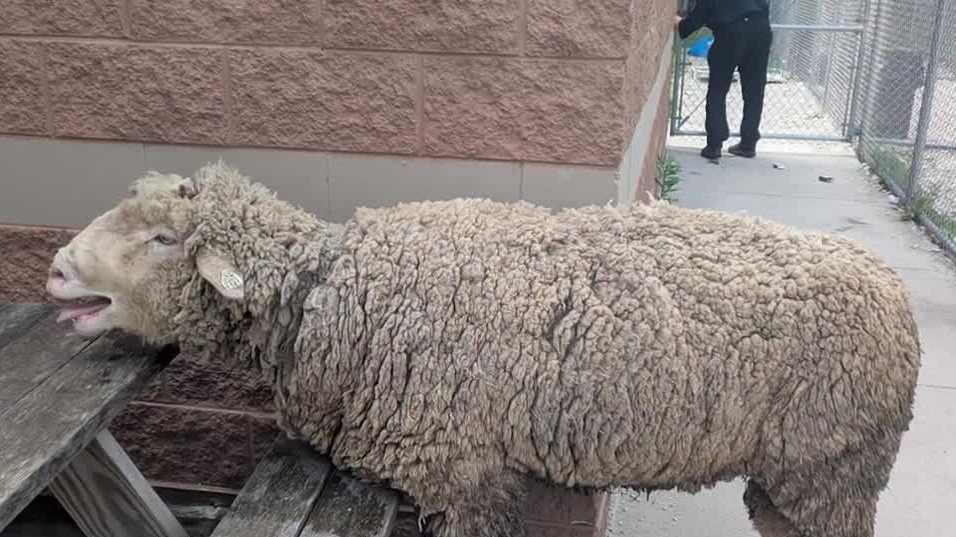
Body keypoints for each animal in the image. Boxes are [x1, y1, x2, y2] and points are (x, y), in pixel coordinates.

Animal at [46, 162, 921, 537]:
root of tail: (893, 285)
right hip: (799, 474)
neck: (329, 292)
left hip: (832, 466)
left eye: (165, 239)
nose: (54, 269)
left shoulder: (460, 469)